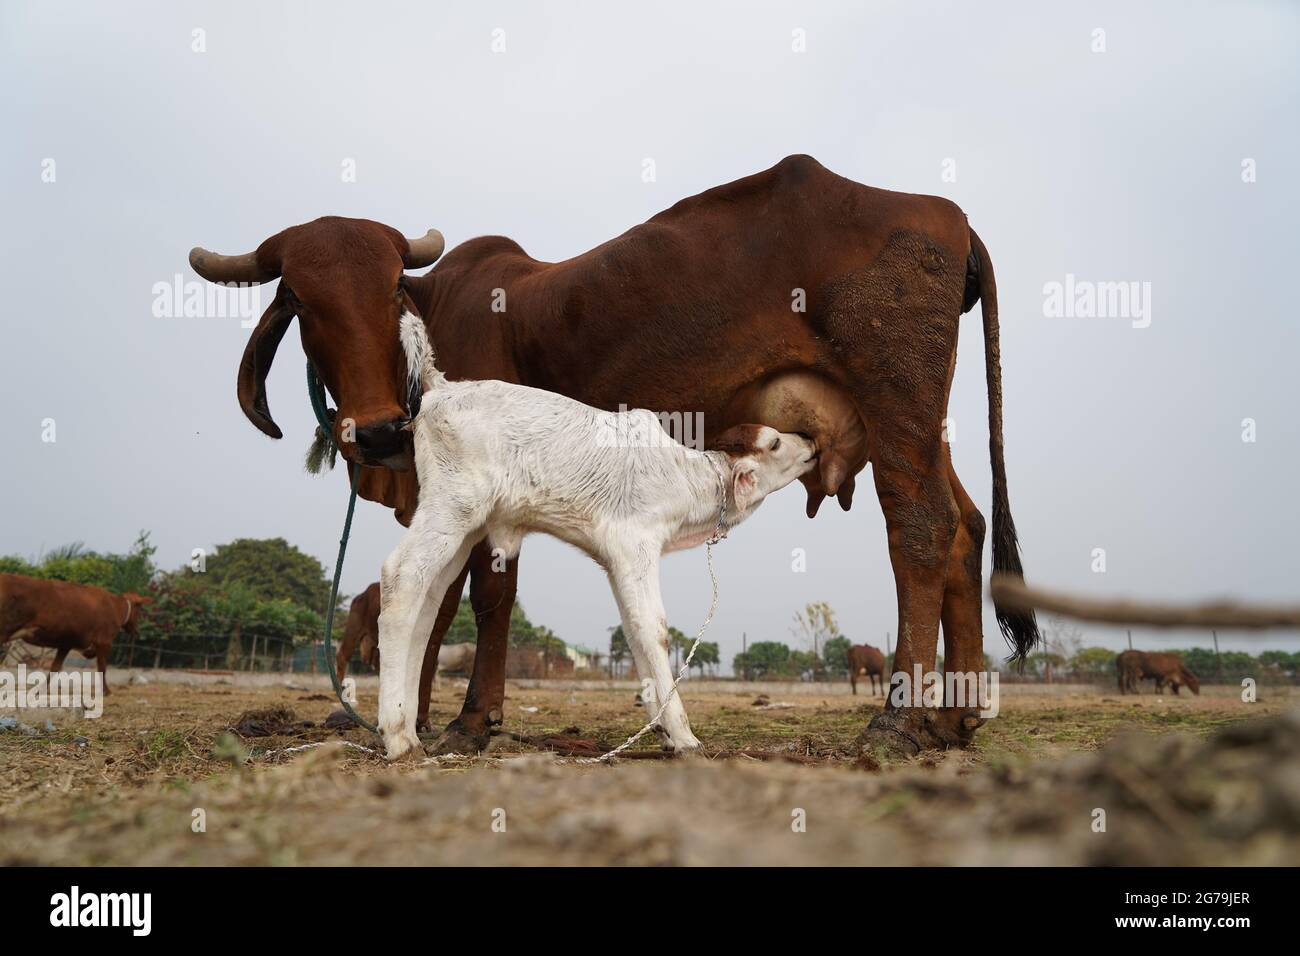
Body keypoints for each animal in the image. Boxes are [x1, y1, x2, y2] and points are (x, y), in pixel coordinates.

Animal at [0, 573, 151, 693]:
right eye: (140, 609)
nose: (137, 630)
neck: (114, 607)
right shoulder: (104, 642)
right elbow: (102, 667)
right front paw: (106, 691)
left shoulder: (66, 643)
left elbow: (55, 667)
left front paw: (41, 690)